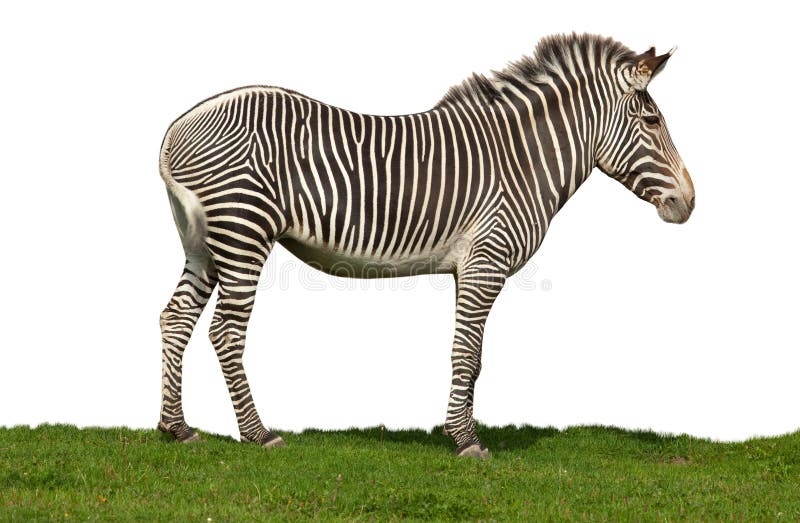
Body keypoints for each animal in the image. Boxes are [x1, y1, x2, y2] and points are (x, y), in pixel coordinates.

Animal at [157, 33, 695, 458]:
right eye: (651, 121)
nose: (688, 202)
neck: (521, 159)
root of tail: (180, 127)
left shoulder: (469, 269)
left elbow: (474, 358)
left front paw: (458, 430)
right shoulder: (486, 262)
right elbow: (466, 354)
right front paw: (466, 441)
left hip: (205, 243)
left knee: (176, 318)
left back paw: (176, 428)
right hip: (244, 230)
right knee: (226, 331)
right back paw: (258, 434)